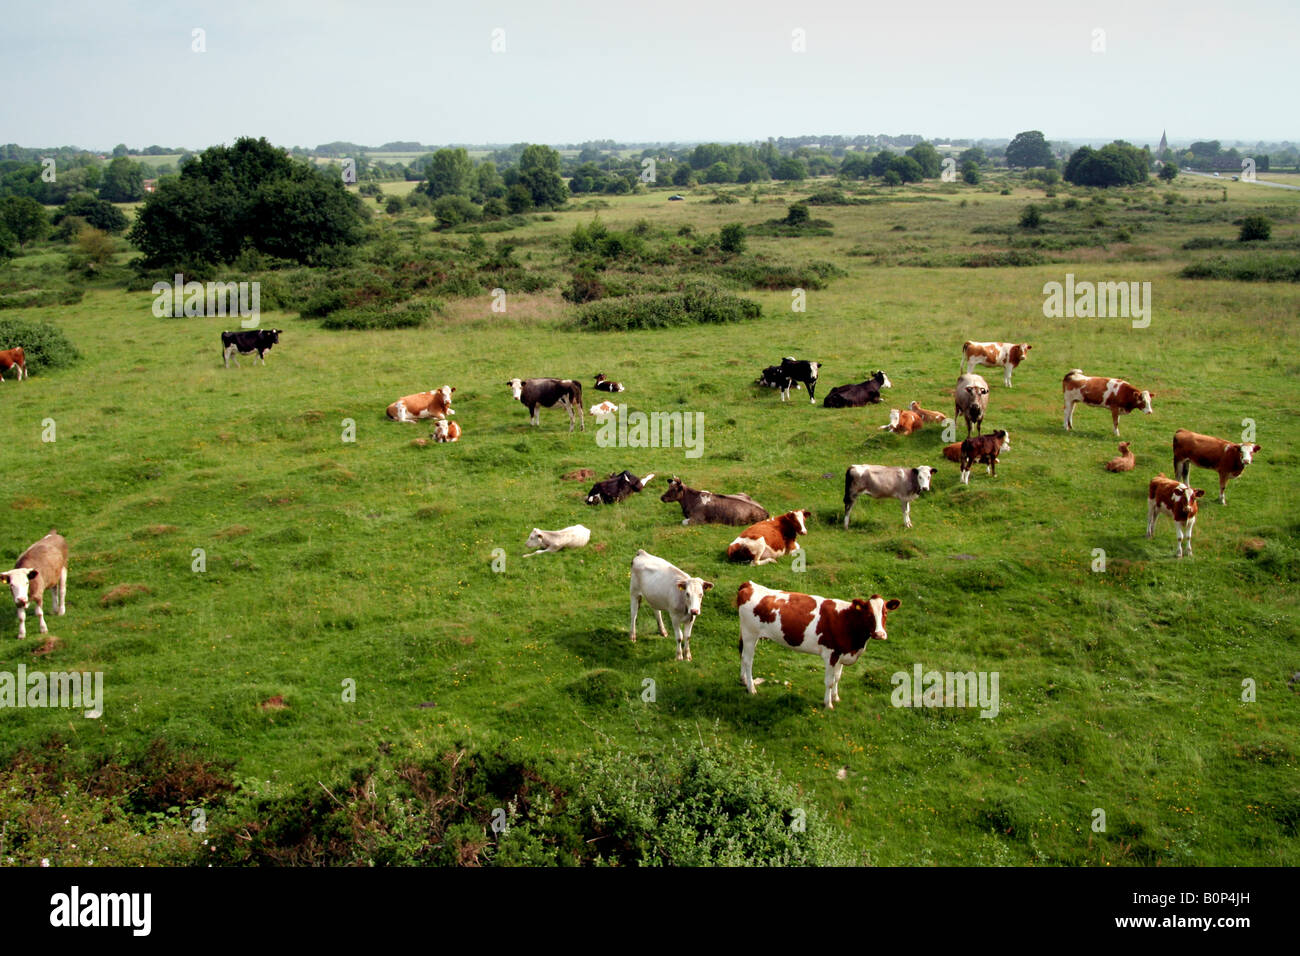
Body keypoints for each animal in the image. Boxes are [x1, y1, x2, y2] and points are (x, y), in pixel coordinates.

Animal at [736, 581, 900, 709]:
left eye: (885, 613)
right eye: (869, 614)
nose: (880, 634)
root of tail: (750, 585)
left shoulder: (841, 653)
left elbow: (837, 677)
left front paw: (836, 697)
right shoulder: (831, 654)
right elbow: (829, 681)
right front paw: (828, 704)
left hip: (747, 633)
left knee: (742, 655)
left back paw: (743, 680)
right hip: (750, 633)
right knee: (748, 660)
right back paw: (751, 688)